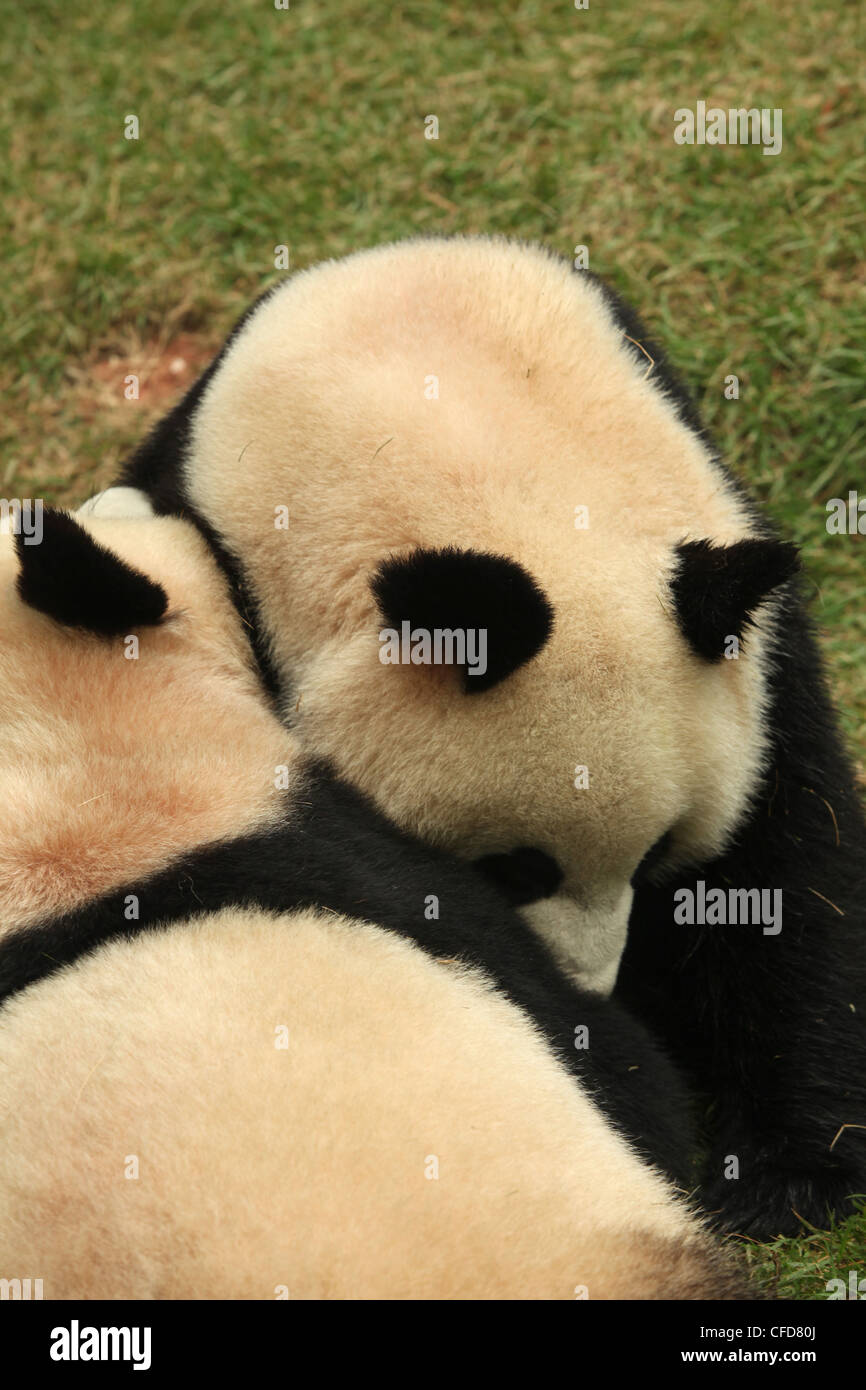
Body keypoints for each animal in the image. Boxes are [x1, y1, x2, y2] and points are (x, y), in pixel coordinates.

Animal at [119, 234, 866, 1238]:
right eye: (518, 868)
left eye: (658, 852)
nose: (594, 987)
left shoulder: (751, 636)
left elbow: (788, 876)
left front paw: (786, 1175)